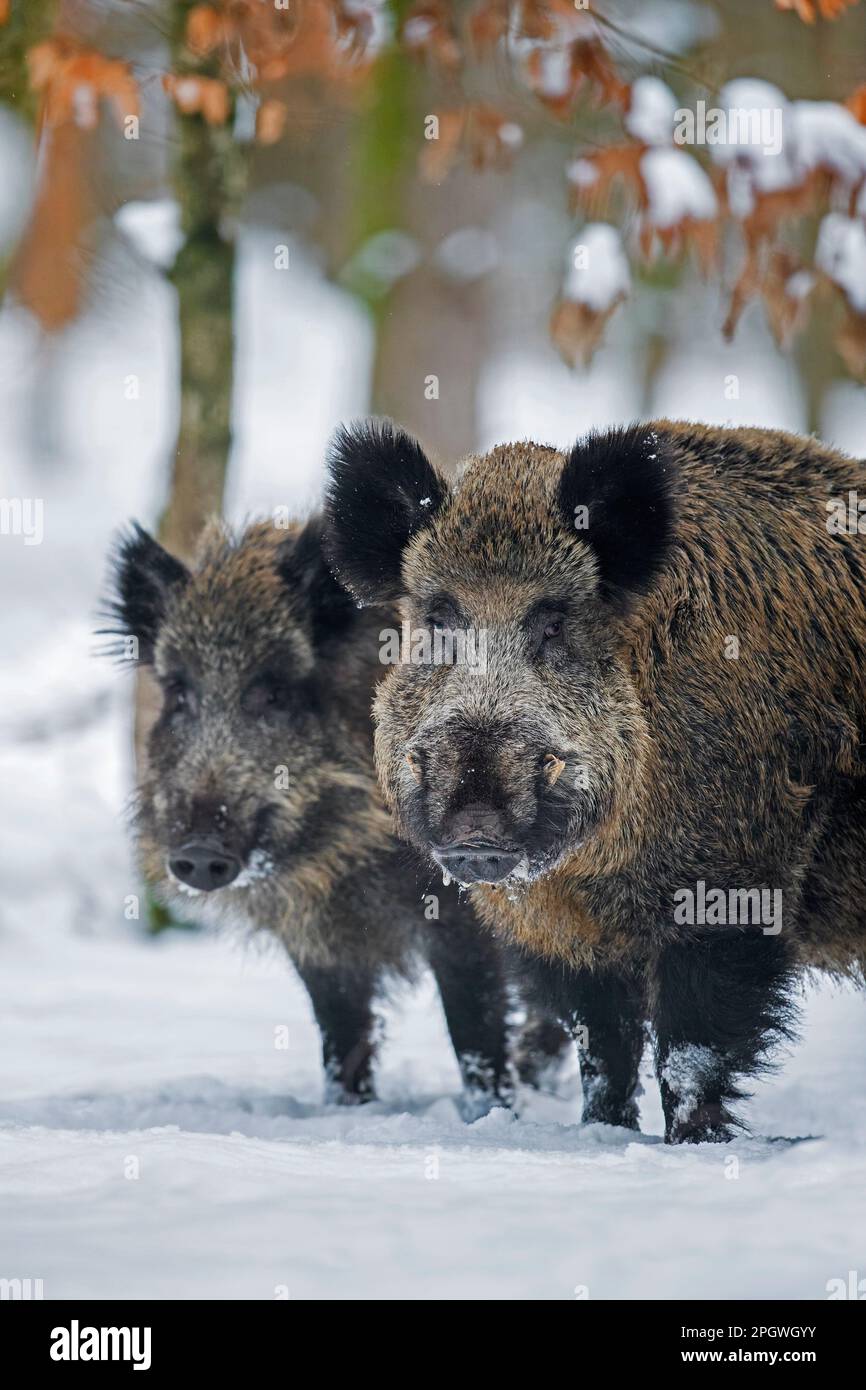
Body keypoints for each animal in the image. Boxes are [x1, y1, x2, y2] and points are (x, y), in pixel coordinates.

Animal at [103, 514, 529, 1114]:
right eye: (179, 693)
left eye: (274, 693)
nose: (198, 854)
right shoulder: (319, 942)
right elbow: (341, 1035)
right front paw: (350, 1111)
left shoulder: (466, 913)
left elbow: (476, 1031)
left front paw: (491, 1117)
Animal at [324, 418, 866, 1142]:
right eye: (438, 622)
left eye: (553, 625)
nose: (475, 830)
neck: (596, 869)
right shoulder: (560, 935)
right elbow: (602, 1043)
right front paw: (602, 1133)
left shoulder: (732, 884)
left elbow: (690, 1050)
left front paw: (692, 1145)